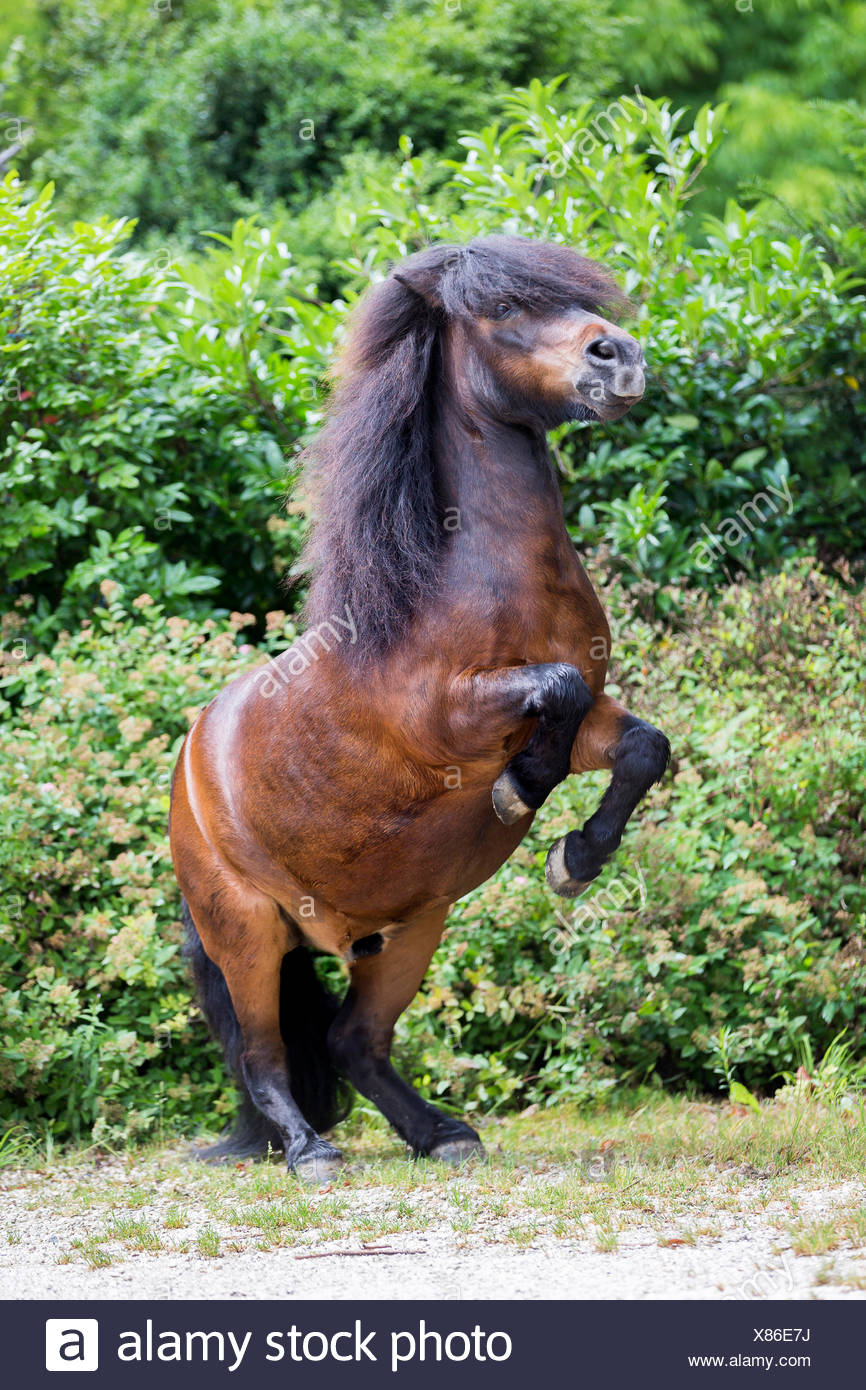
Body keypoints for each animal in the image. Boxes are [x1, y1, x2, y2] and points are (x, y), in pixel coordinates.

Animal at [169, 234, 670, 1181]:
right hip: (244, 931)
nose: (618, 357)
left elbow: (642, 745)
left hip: (409, 929)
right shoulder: (453, 722)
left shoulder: (595, 716)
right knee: (262, 1052)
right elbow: (555, 688)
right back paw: (310, 1153)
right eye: (503, 308)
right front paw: (523, 792)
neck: (478, 584)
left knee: (352, 1040)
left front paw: (573, 858)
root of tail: (188, 767)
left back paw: (443, 1134)